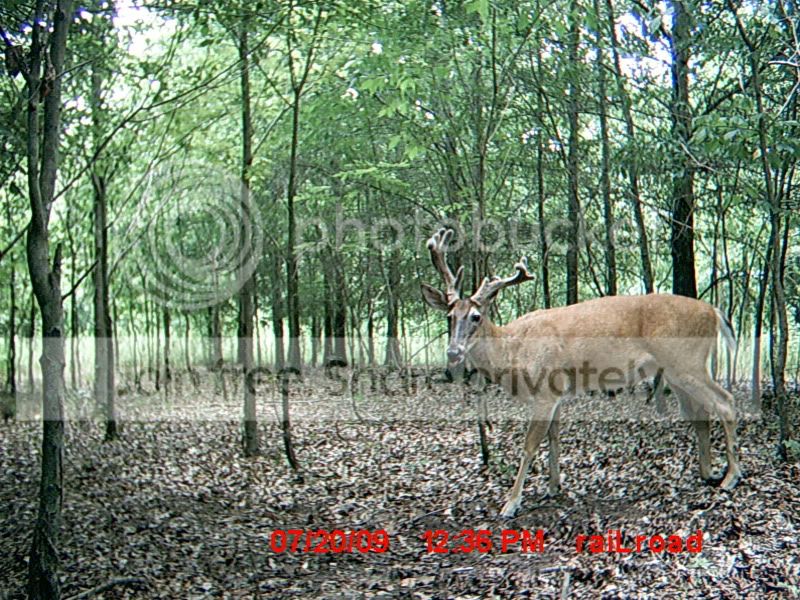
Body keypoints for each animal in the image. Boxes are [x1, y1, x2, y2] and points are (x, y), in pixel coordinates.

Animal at [420, 228, 742, 518]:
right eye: (450, 316)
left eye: (476, 316)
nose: (453, 352)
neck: (513, 350)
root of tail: (714, 312)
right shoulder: (557, 392)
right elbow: (554, 438)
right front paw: (553, 487)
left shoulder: (545, 391)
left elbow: (529, 446)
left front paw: (511, 504)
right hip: (676, 371)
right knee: (700, 415)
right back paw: (707, 472)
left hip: (687, 362)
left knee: (726, 403)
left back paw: (731, 477)